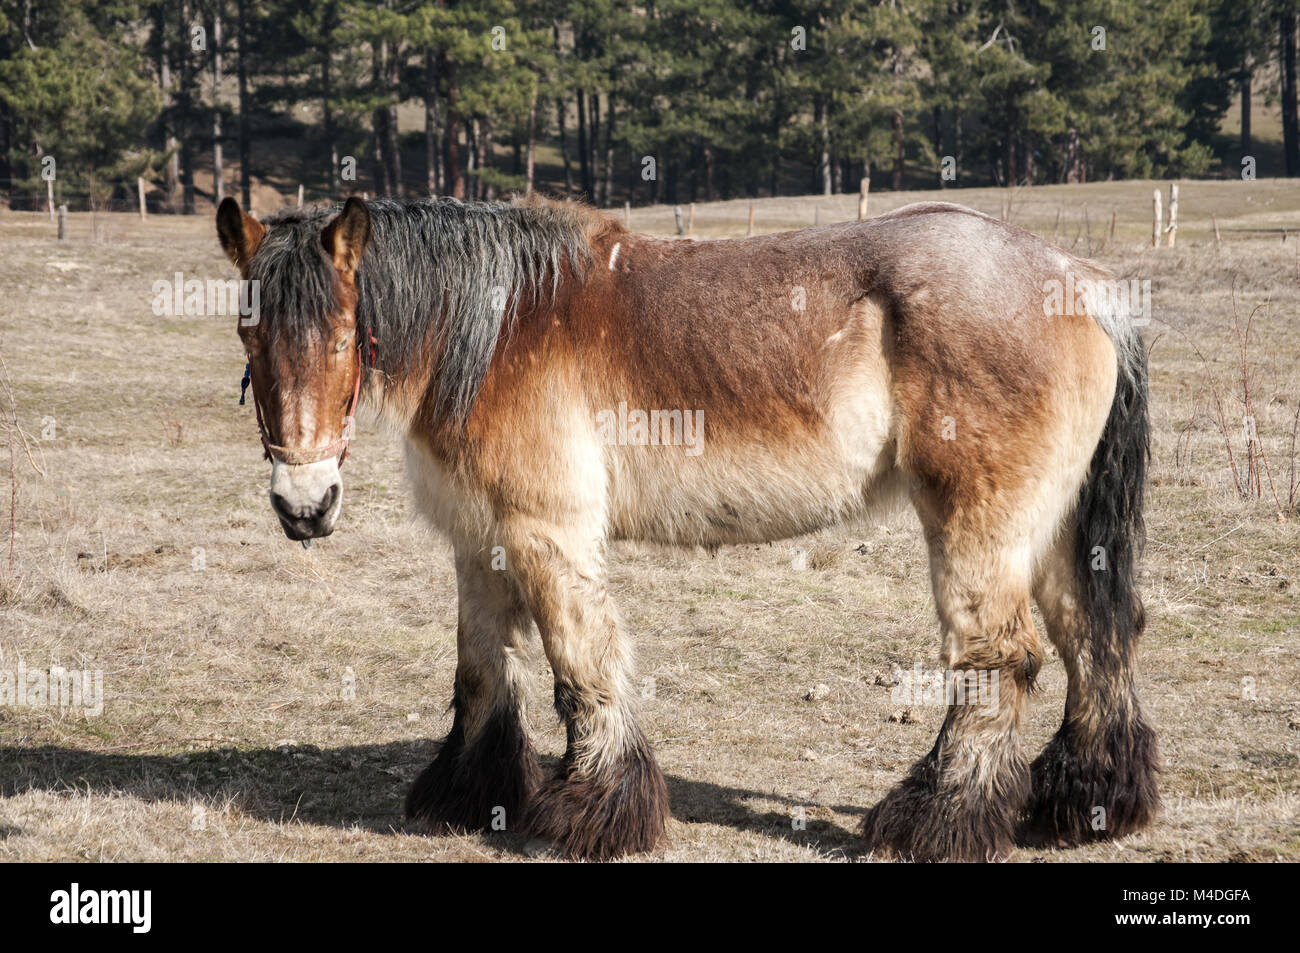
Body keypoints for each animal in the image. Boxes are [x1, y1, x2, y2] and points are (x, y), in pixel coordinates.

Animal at [215, 193, 1158, 861]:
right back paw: (1086, 803)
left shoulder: (548, 534)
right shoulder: (480, 540)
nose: (304, 506)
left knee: (1001, 658)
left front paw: (596, 813)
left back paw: (935, 821)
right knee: (1092, 638)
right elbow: (483, 671)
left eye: (346, 335)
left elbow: (582, 669)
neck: (497, 327)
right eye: (247, 334)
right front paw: (467, 796)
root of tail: (1082, 283)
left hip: (978, 530)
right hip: (1050, 533)